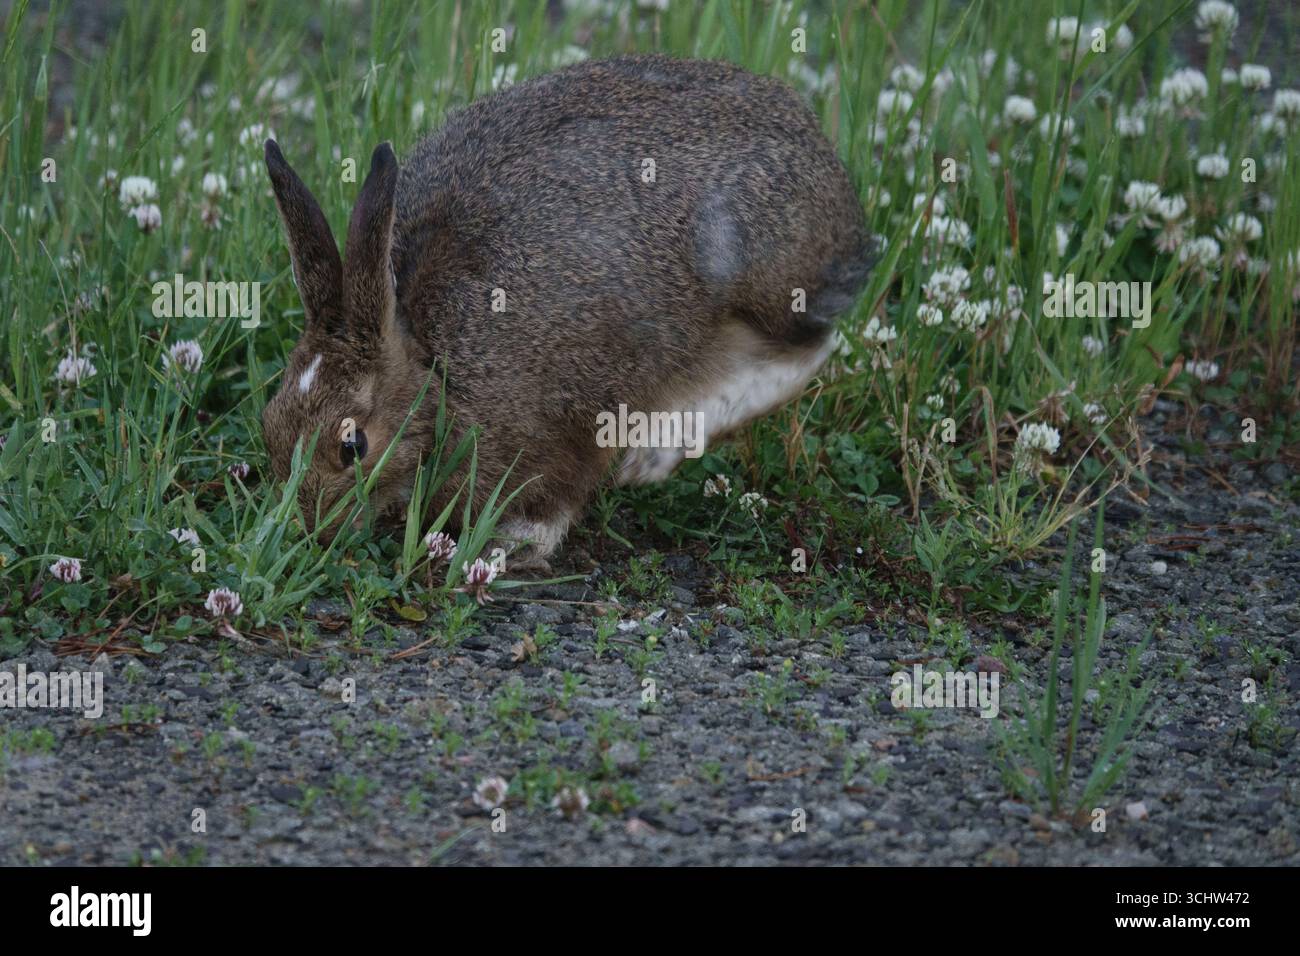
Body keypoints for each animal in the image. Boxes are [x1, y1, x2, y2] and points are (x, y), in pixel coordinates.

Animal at [261, 54, 874, 569]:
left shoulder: (566, 427)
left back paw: (651, 456)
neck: (431, 365)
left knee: (808, 350)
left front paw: (513, 547)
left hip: (754, 279)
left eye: (352, 446)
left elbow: (557, 493)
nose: (311, 529)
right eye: (269, 423)